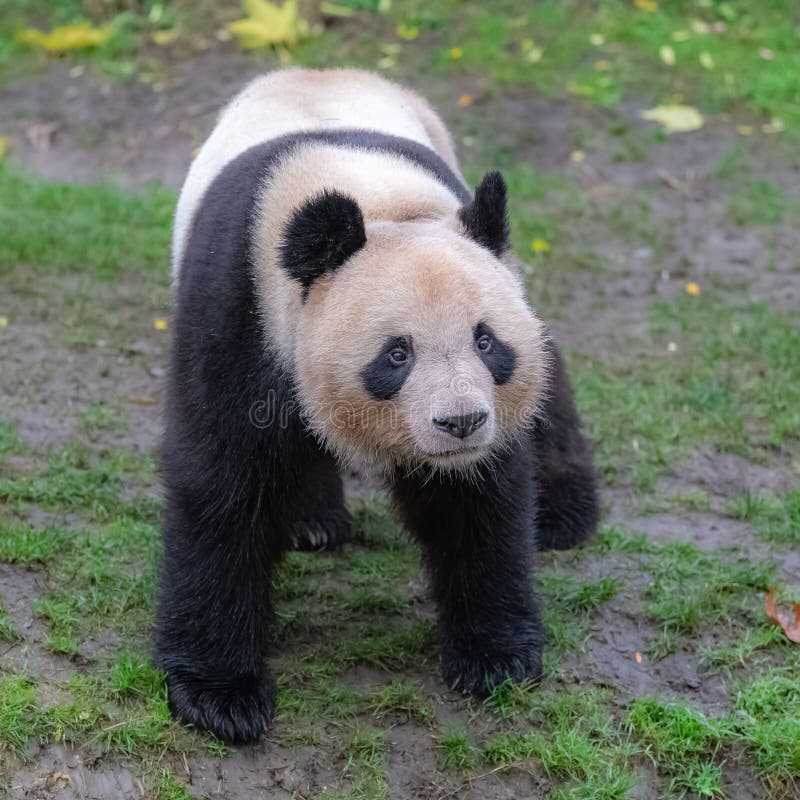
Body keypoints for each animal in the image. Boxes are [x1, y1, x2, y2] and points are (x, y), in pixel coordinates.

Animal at [156, 68, 599, 743]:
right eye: (396, 354)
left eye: (486, 340)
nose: (461, 423)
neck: (380, 203)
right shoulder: (238, 311)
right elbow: (223, 484)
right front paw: (219, 696)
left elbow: (478, 503)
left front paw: (494, 656)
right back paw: (316, 522)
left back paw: (565, 516)